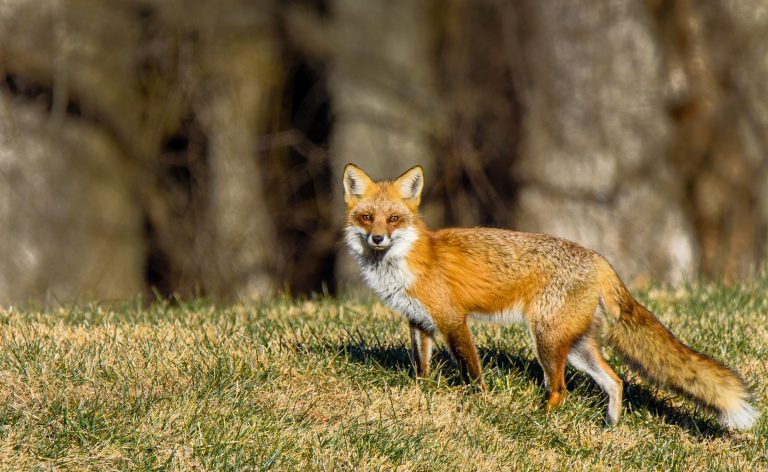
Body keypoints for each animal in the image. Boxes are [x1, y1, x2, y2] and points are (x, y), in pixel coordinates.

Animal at [342, 163, 759, 430]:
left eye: (394, 219)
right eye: (367, 217)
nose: (377, 238)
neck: (406, 261)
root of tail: (600, 259)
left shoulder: (451, 318)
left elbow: (471, 369)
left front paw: (478, 402)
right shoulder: (419, 321)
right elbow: (421, 367)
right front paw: (421, 393)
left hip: (547, 339)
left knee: (560, 389)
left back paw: (542, 419)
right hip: (575, 345)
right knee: (614, 381)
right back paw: (609, 426)